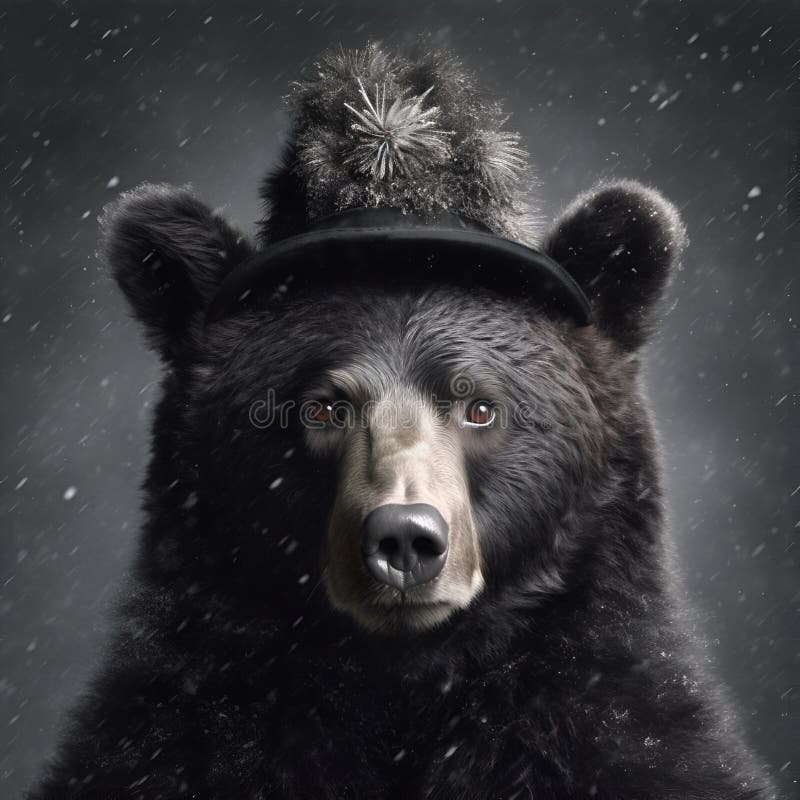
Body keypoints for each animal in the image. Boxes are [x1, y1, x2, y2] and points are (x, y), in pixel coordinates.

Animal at [29, 43, 778, 800]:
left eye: (481, 406)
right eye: (322, 406)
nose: (405, 538)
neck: (406, 689)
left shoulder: (614, 731)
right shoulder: (175, 736)